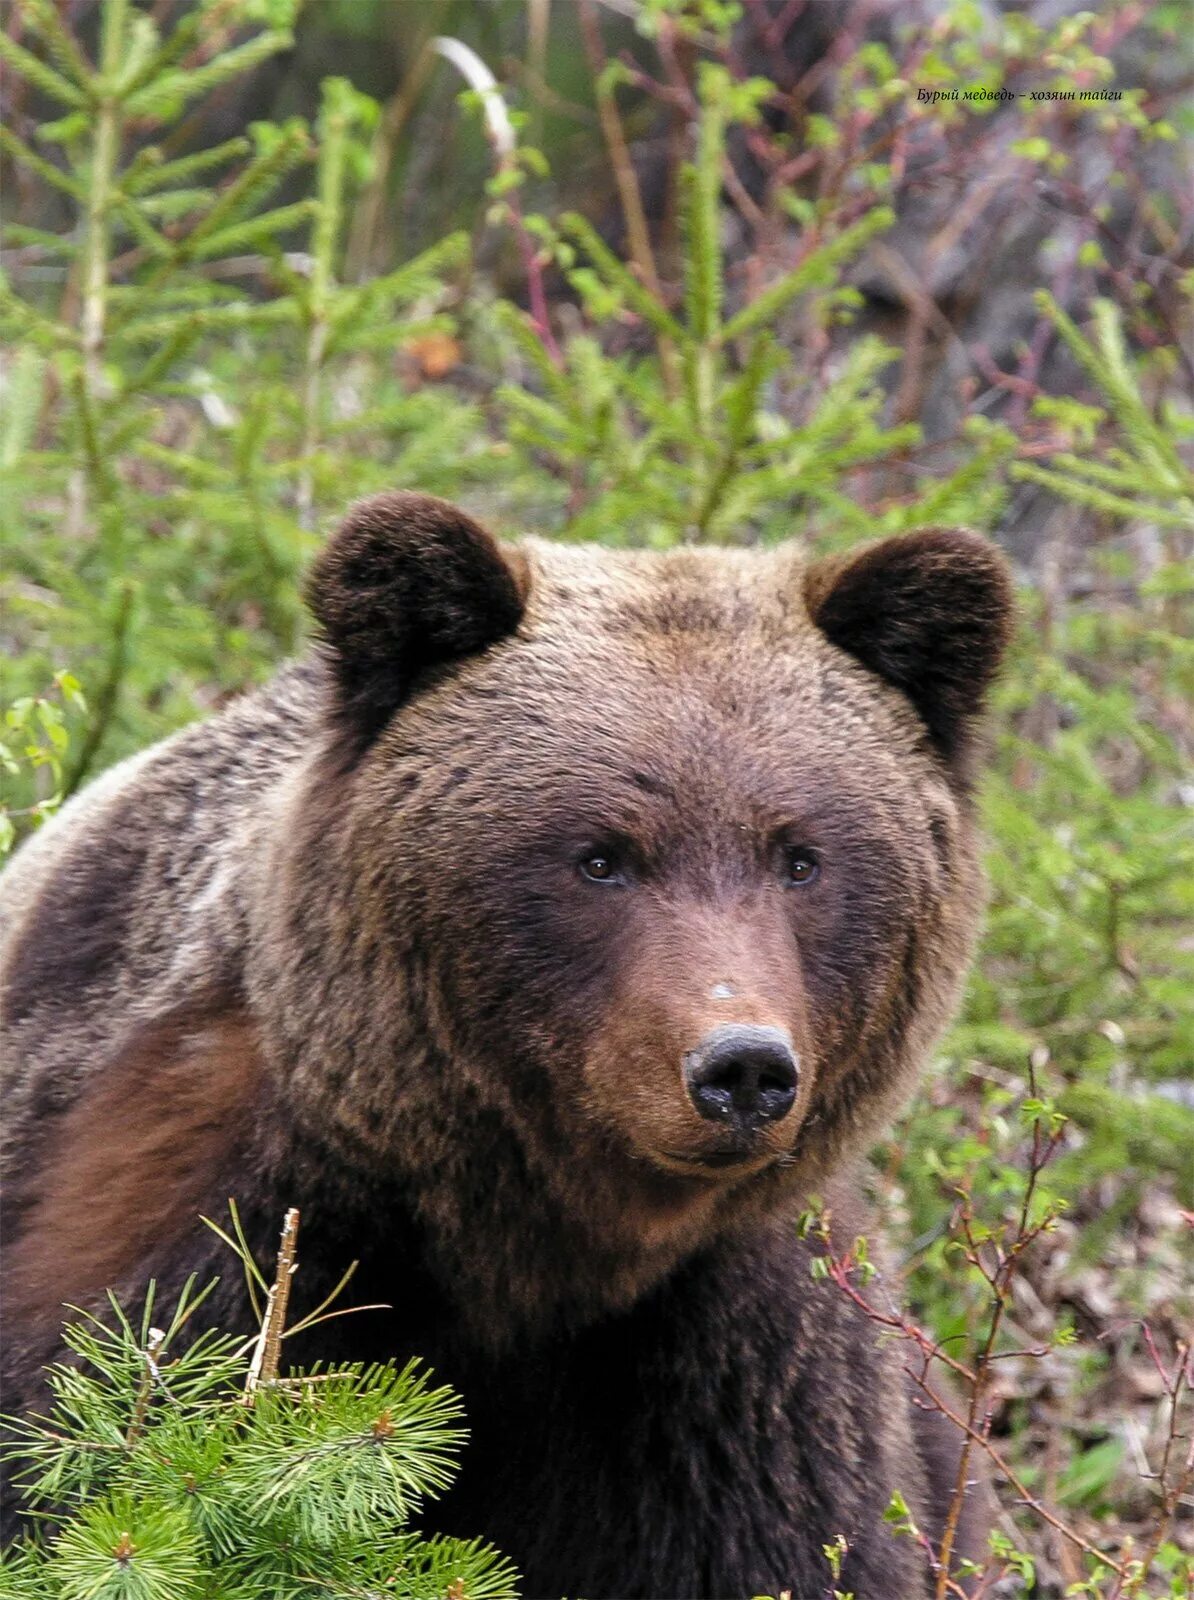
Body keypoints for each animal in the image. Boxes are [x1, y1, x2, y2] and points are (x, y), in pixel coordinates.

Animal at [0, 492, 1011, 1593]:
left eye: (802, 856)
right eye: (601, 856)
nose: (740, 1068)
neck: (521, 1251)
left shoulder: (731, 1353)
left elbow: (790, 1542)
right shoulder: (210, 1226)